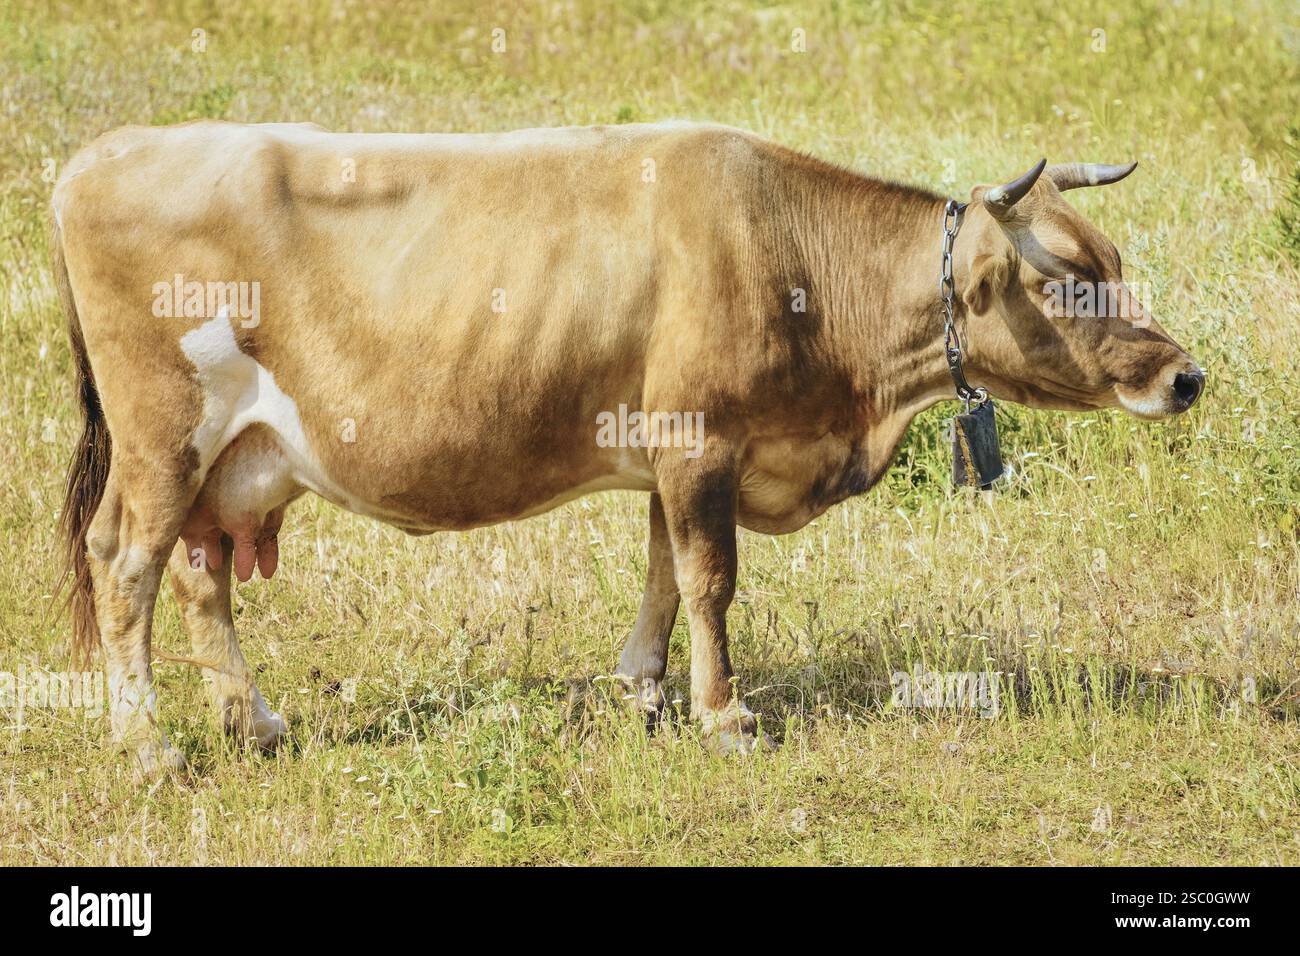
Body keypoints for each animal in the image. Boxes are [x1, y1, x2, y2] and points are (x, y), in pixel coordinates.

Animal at [52, 121, 1203, 773]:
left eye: (1110, 255)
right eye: (1064, 273)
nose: (1183, 375)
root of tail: (95, 158)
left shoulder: (672, 449)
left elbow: (660, 569)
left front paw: (646, 690)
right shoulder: (701, 439)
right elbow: (709, 577)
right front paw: (723, 715)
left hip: (230, 458)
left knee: (201, 572)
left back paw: (255, 723)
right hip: (164, 434)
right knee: (126, 564)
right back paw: (147, 746)